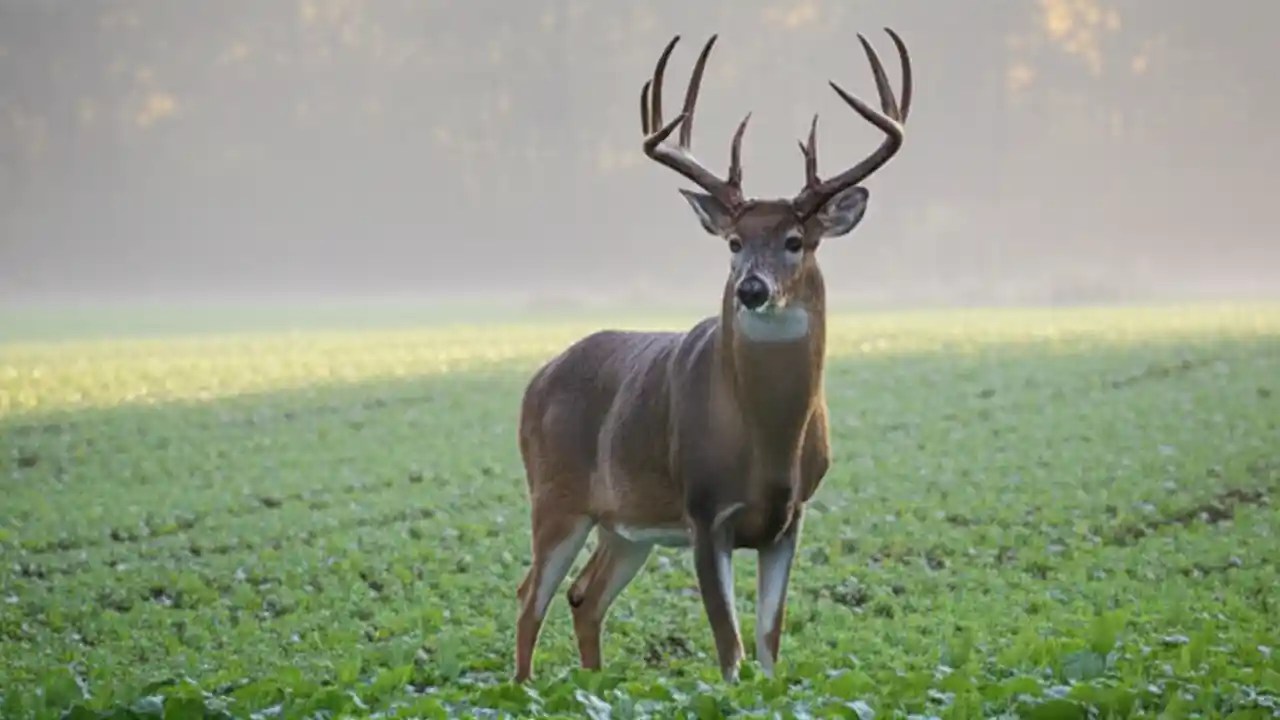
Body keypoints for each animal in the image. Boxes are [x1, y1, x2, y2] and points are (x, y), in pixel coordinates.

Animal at [514, 28, 912, 683]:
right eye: (733, 241)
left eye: (795, 240)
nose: (751, 288)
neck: (765, 443)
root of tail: (537, 379)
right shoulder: (704, 513)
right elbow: (732, 651)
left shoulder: (790, 519)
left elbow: (769, 645)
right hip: (555, 495)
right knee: (530, 596)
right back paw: (522, 690)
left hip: (627, 525)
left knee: (584, 597)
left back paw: (595, 686)